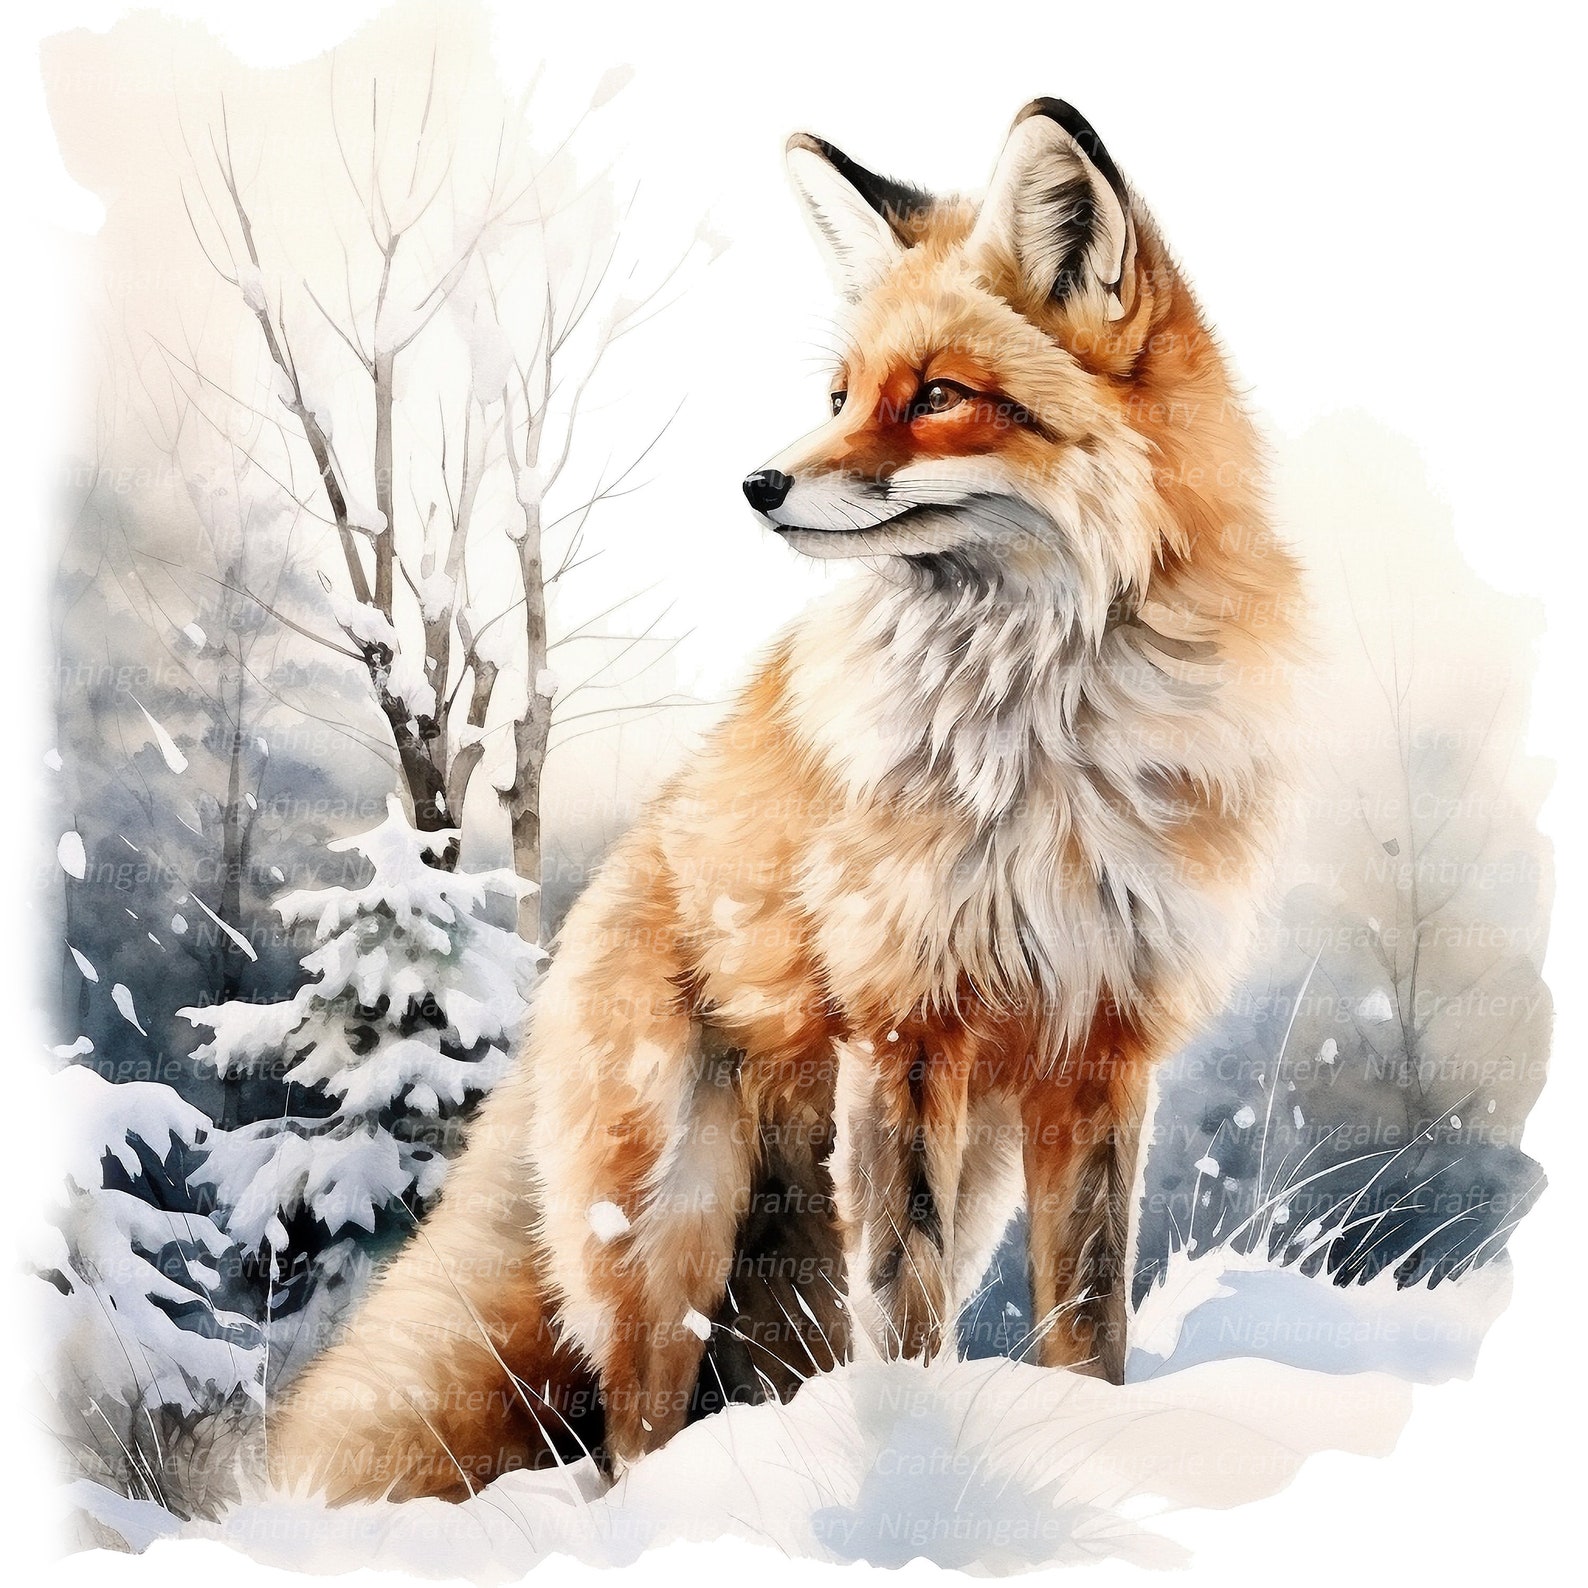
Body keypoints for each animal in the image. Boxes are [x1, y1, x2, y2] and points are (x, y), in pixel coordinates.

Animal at [270, 98, 1304, 1503]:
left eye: (937, 396)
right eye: (838, 397)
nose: (758, 484)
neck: (1045, 738)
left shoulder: (1099, 1050)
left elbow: (1088, 1317)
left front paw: (1091, 1444)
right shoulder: (902, 1028)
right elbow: (907, 1315)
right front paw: (913, 1460)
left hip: (845, 1243)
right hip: (674, 1228)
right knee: (630, 1429)